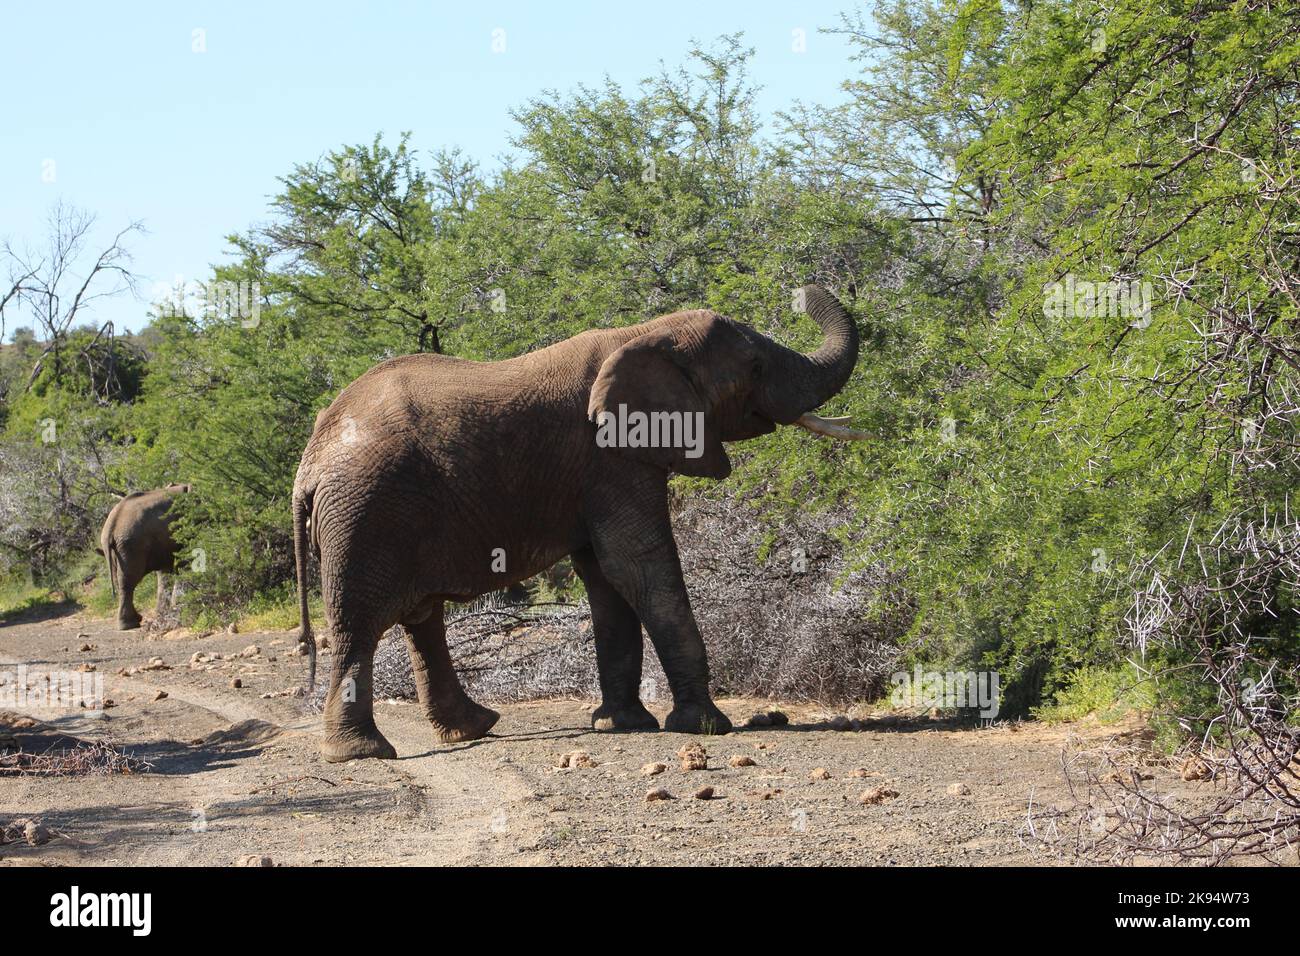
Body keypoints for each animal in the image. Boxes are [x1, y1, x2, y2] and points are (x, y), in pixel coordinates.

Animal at [97, 483, 191, 630]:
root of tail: (111, 525)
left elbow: (165, 573)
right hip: (131, 543)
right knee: (129, 580)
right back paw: (130, 624)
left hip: (120, 548)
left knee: (121, 580)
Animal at [292, 285, 868, 762]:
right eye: (753, 367)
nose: (805, 289)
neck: (642, 333)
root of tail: (310, 461)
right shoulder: (611, 458)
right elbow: (635, 563)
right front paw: (704, 725)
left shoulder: (596, 472)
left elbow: (606, 577)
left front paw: (622, 725)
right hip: (365, 515)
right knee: (360, 623)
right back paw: (362, 754)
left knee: (420, 619)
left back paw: (474, 728)